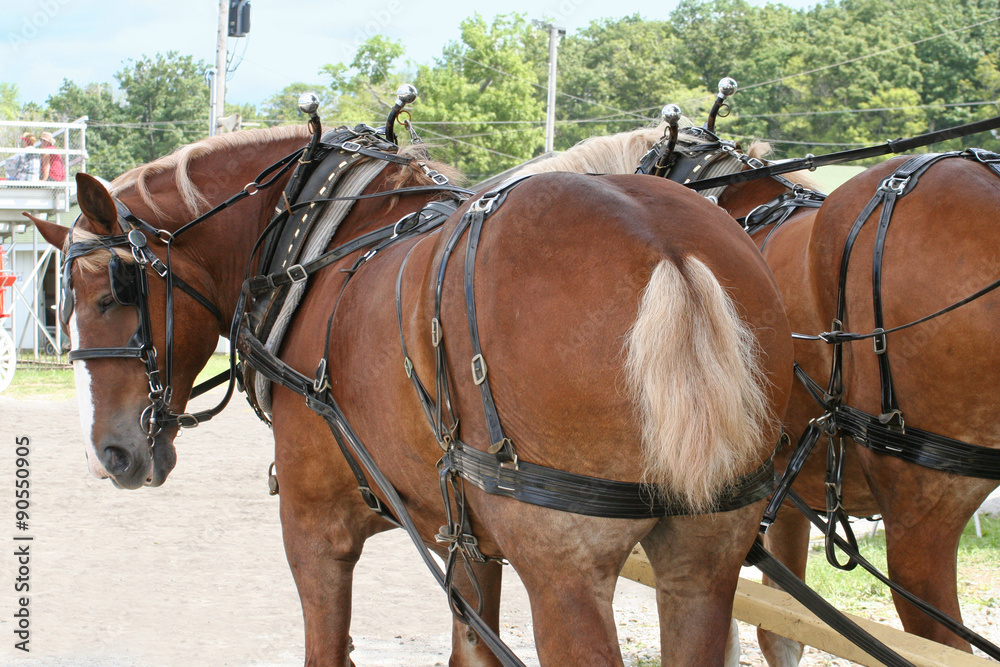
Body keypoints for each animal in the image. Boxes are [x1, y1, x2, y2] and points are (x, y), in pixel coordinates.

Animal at [28, 123, 794, 666]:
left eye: (111, 291)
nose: (109, 455)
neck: (317, 246)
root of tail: (666, 247)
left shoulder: (314, 525)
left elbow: (326, 650)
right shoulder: (470, 538)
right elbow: (471, 652)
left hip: (566, 568)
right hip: (707, 549)